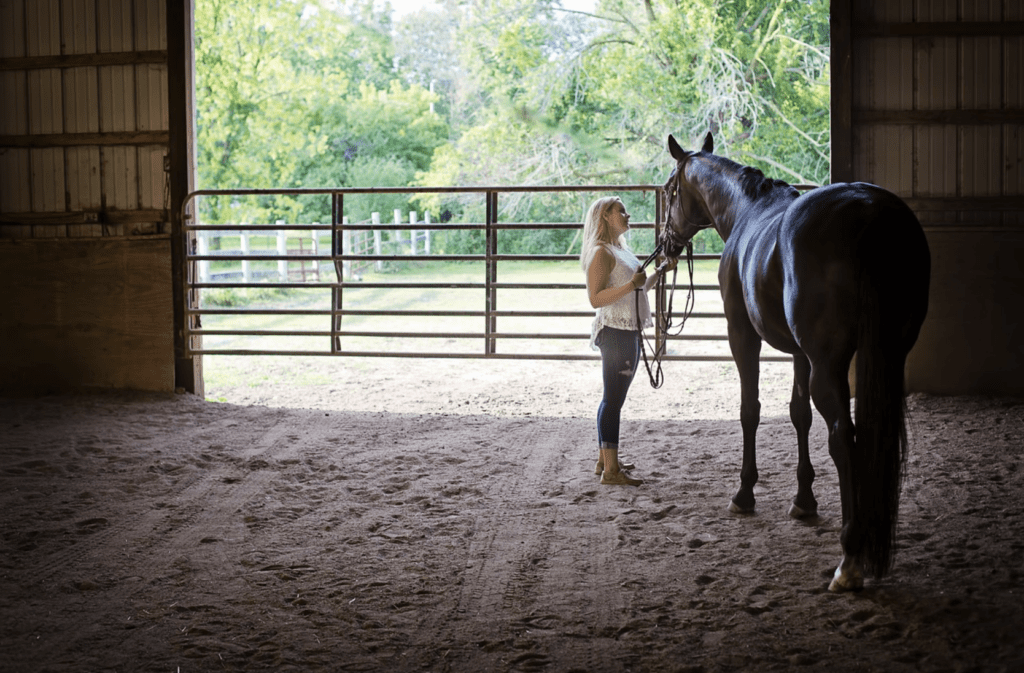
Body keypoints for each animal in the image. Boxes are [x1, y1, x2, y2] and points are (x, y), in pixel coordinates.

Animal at [660, 132, 931, 592]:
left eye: (670, 190)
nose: (667, 243)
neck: (748, 210)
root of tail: (872, 212)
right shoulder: (801, 353)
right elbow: (798, 414)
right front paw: (804, 500)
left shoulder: (742, 335)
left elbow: (750, 410)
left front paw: (744, 494)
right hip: (887, 354)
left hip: (829, 365)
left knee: (843, 438)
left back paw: (849, 559)